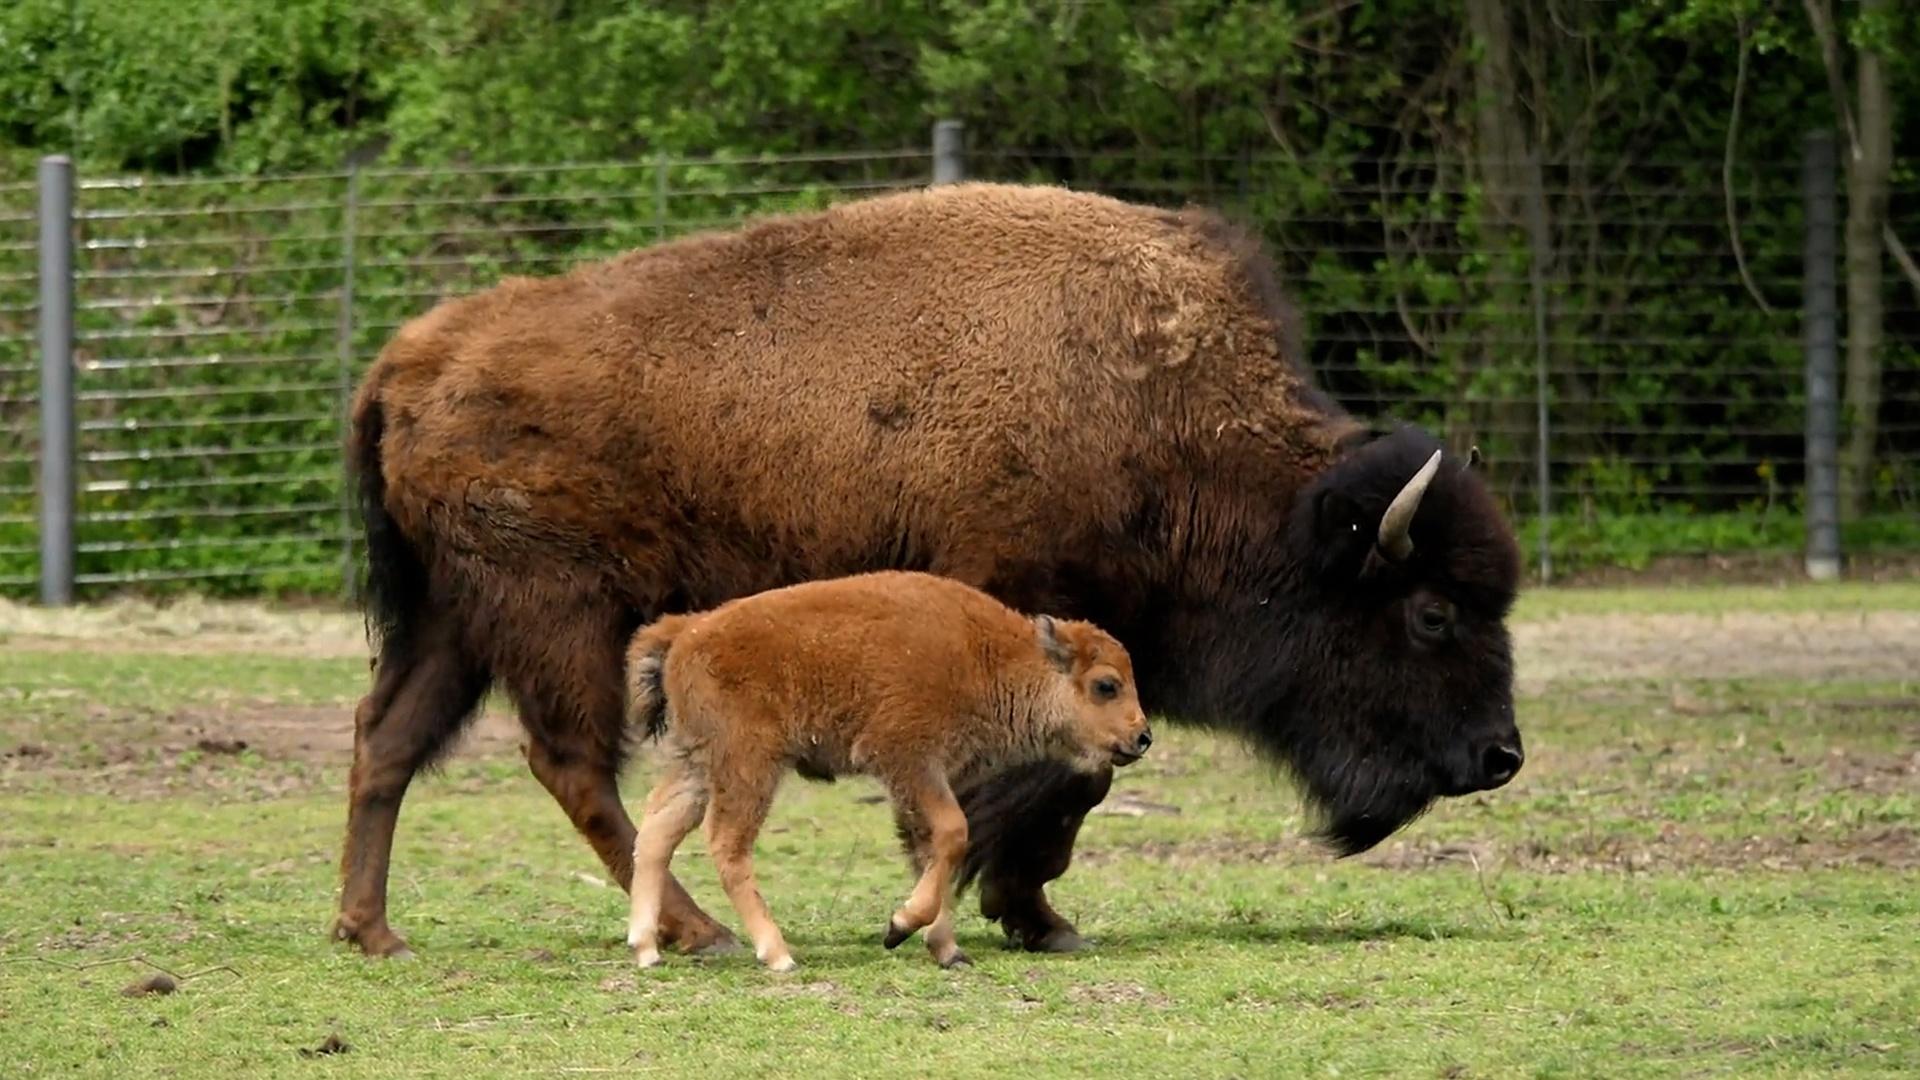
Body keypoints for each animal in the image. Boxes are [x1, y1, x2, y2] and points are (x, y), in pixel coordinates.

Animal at [337, 181, 1524, 959]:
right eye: (1430, 613)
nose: (1500, 755)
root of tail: (407, 359)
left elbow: (1072, 779)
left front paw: (1029, 919)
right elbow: (1059, 778)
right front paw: (982, 908)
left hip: (452, 619)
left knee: (389, 740)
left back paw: (371, 930)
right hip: (559, 614)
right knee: (574, 765)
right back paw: (698, 931)